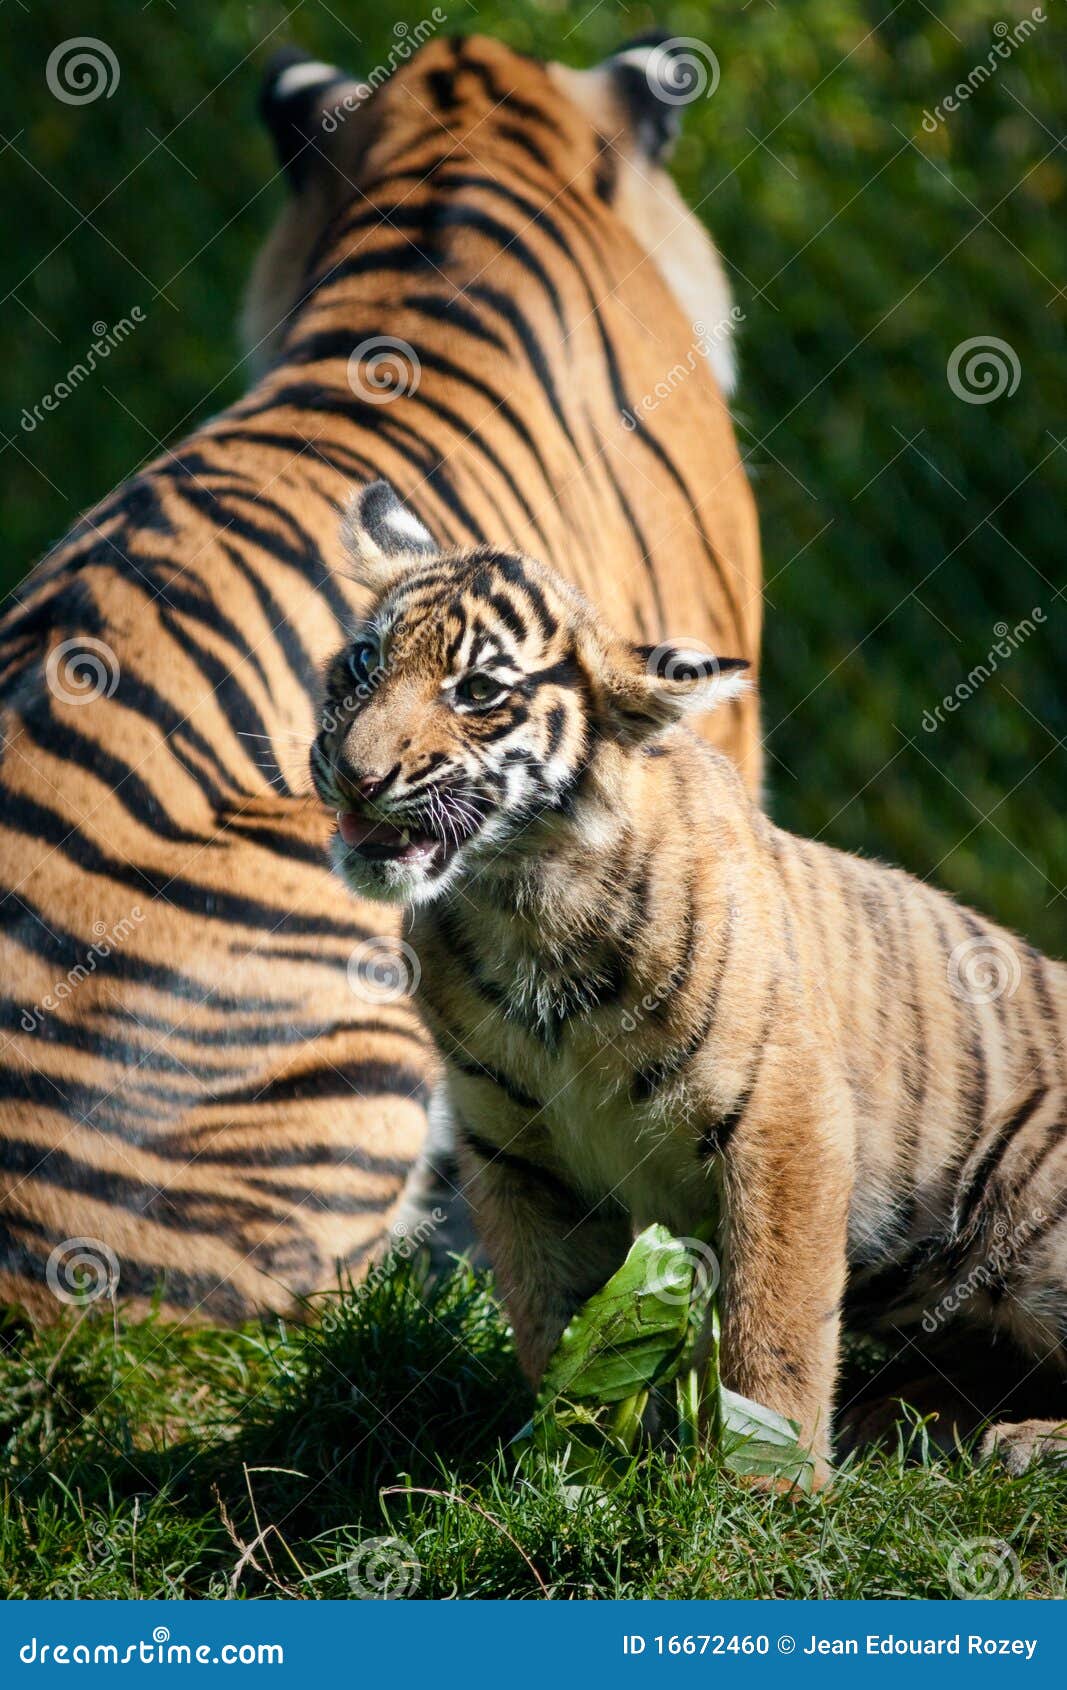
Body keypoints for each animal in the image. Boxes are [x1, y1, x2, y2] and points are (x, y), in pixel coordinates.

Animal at [313, 480, 1067, 1483]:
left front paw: (769, 1484)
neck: (520, 898)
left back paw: (1016, 1440)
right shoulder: (512, 1149)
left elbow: (773, 1318)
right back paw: (899, 1419)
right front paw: (568, 1462)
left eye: (476, 691)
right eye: (365, 661)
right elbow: (551, 1319)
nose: (353, 776)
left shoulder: (787, 1121)